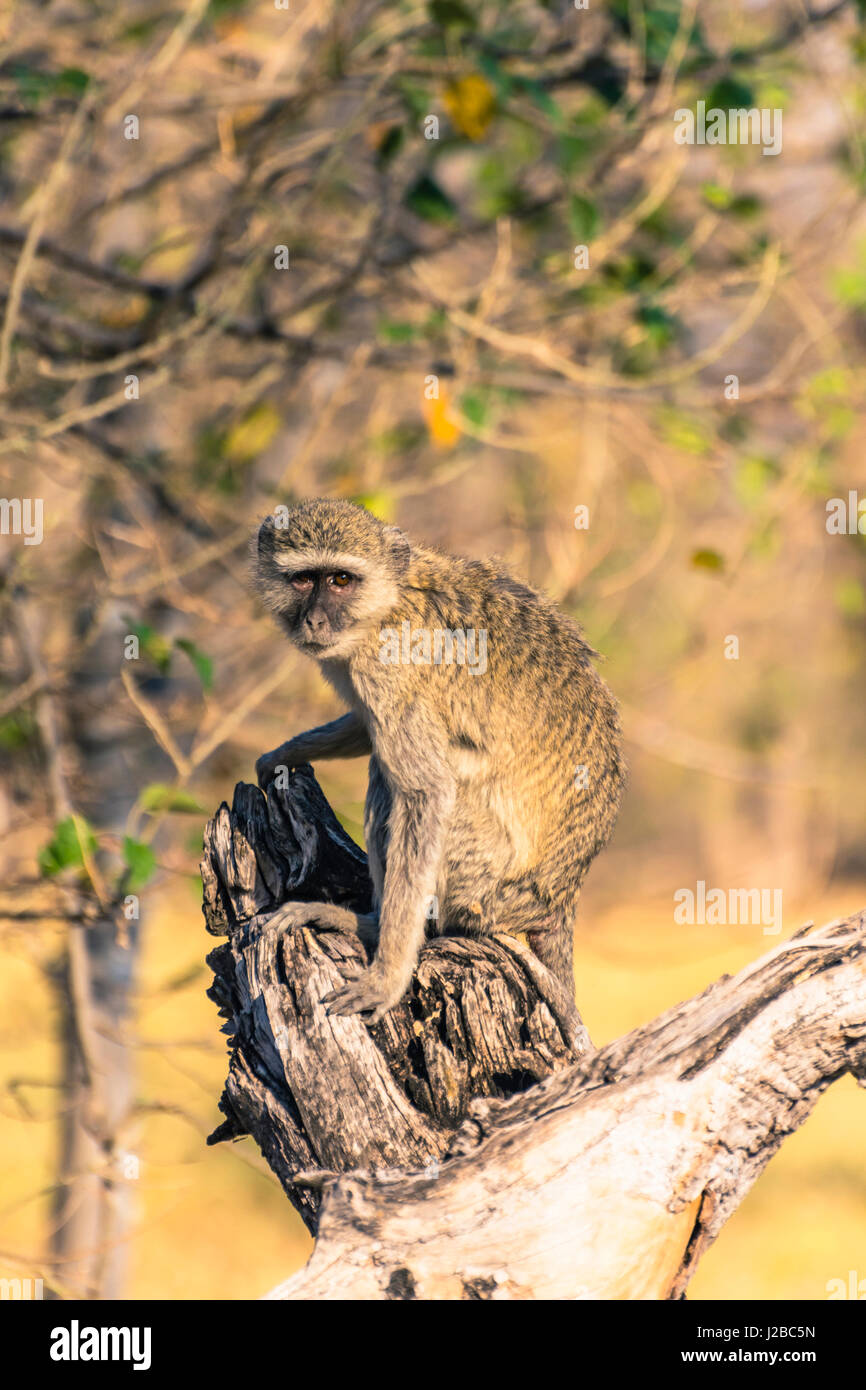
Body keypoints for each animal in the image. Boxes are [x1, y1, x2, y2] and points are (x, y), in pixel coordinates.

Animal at [252, 498, 625, 1024]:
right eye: (304, 580)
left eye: (341, 580)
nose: (315, 622)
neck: (390, 599)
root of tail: (559, 900)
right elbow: (364, 726)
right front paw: (282, 756)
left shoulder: (387, 666)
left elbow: (426, 791)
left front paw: (387, 977)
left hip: (481, 882)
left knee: (397, 787)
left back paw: (373, 926)